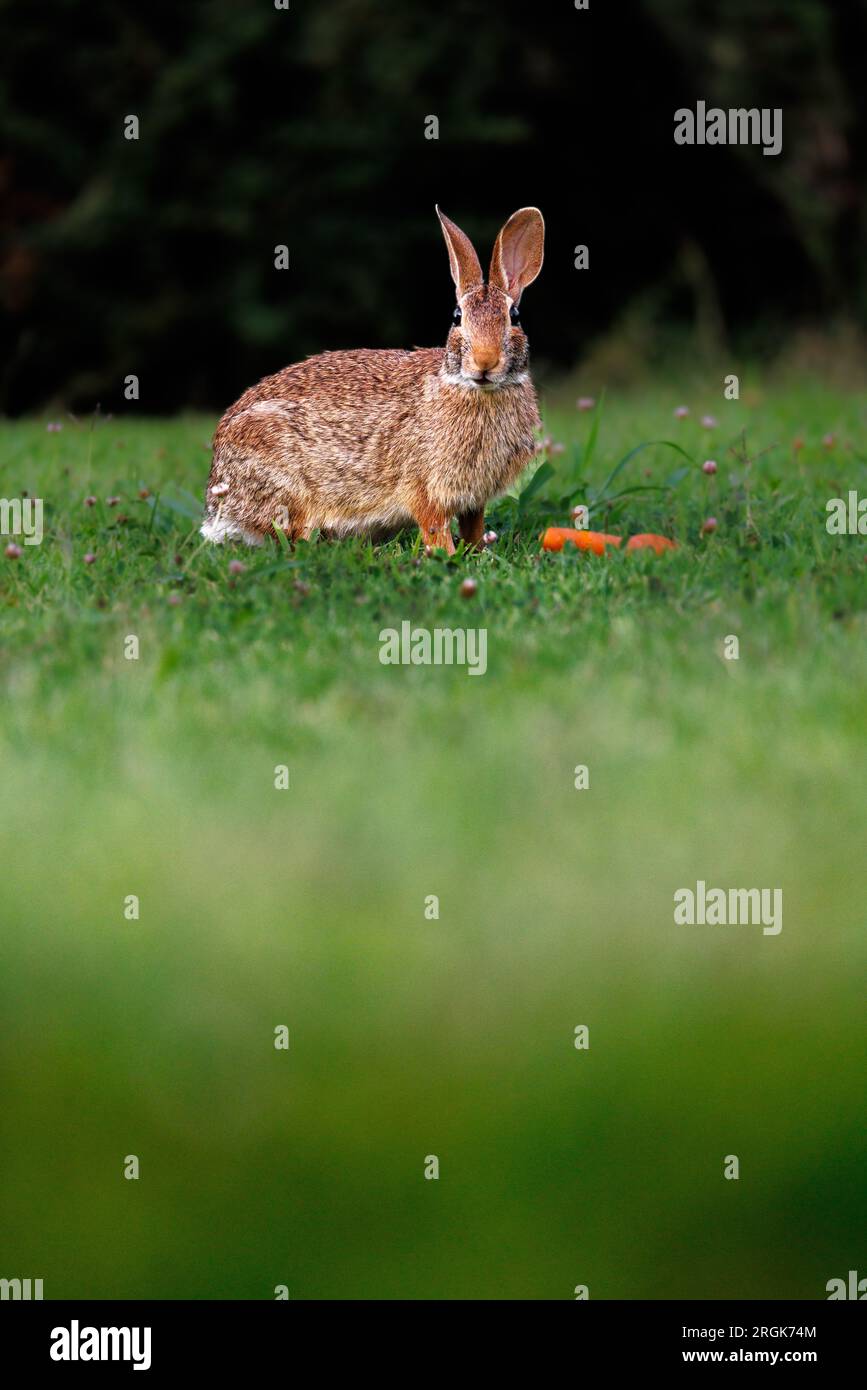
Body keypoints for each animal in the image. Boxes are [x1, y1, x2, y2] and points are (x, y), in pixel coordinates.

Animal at [201, 206, 545, 555]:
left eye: (514, 317)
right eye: (456, 317)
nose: (485, 362)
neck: (471, 387)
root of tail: (219, 501)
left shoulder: (474, 499)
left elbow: (473, 524)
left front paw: (477, 552)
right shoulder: (424, 487)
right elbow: (434, 525)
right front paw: (448, 556)